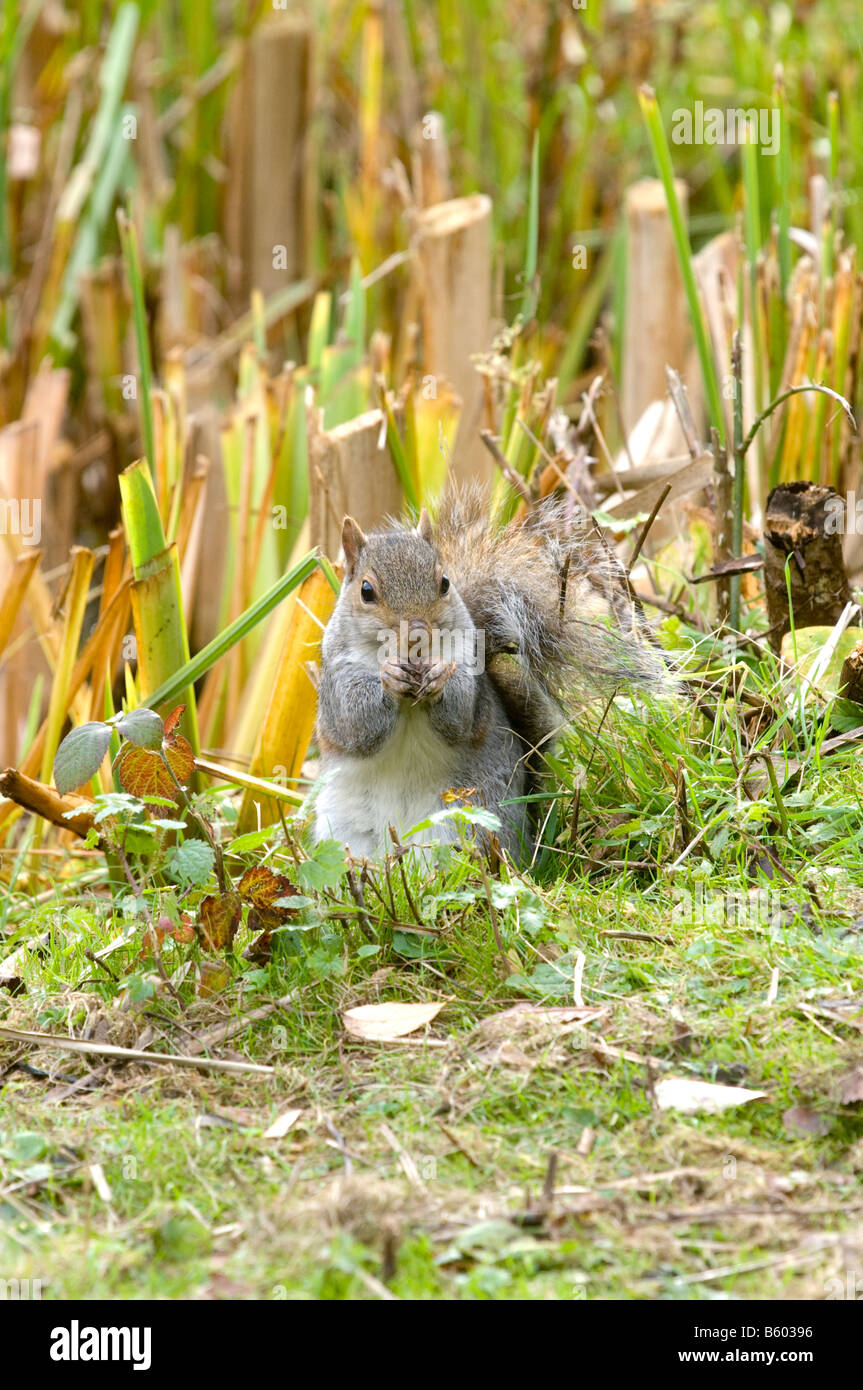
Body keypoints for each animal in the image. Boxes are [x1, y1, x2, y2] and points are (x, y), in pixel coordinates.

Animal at [312, 486, 669, 863]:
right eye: (366, 591)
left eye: (444, 582)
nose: (417, 634)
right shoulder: (337, 678)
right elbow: (357, 725)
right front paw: (388, 677)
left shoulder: (471, 672)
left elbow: (460, 715)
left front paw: (439, 678)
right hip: (347, 834)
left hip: (471, 817)